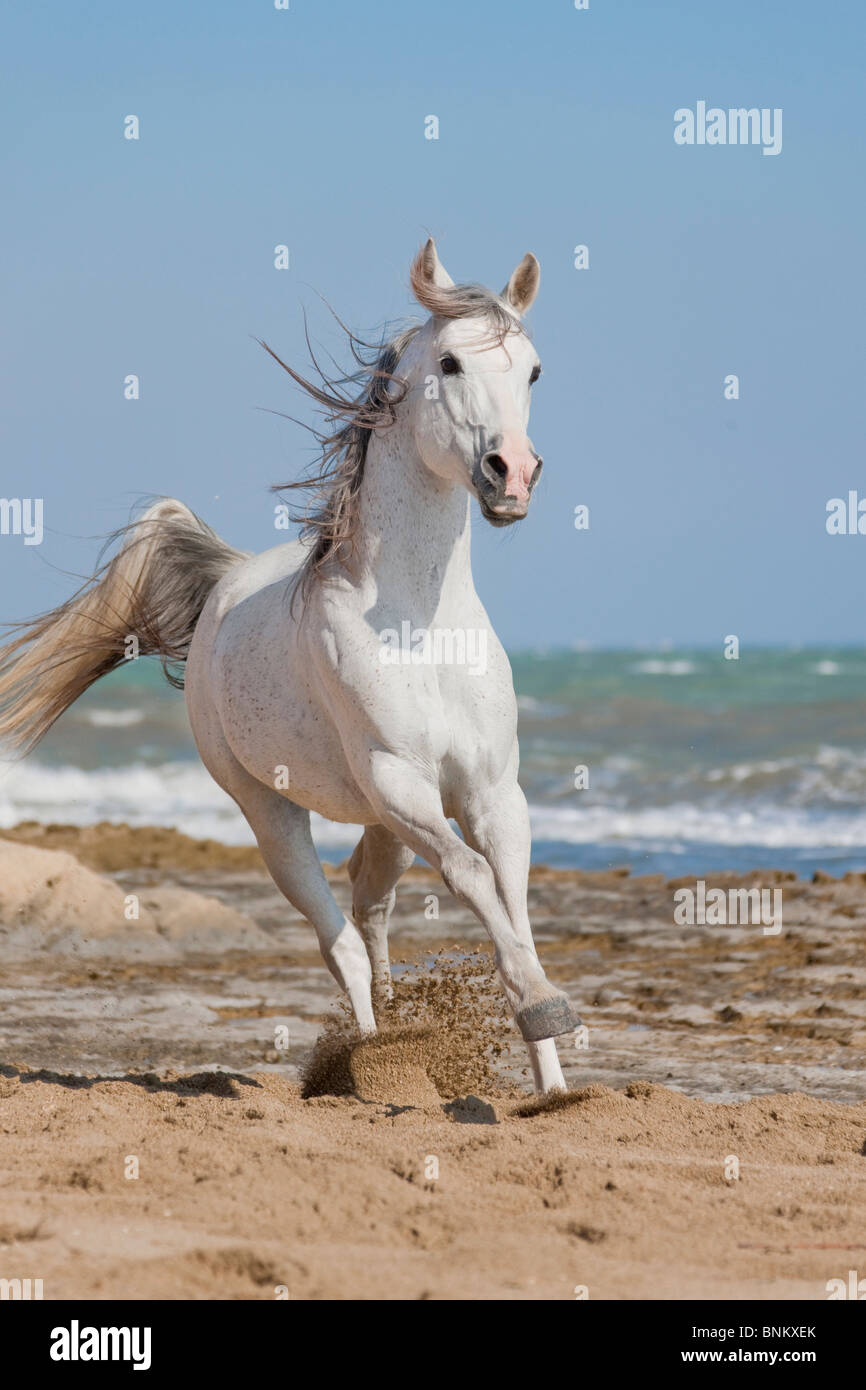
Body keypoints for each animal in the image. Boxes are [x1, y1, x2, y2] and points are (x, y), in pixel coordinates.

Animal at [0, 239, 581, 1094]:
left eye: (534, 370)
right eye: (449, 362)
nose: (512, 474)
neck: (420, 626)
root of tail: (225, 585)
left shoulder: (489, 789)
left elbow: (511, 899)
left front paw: (554, 1083)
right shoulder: (399, 781)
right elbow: (472, 877)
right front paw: (540, 1008)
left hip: (380, 820)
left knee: (369, 907)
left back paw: (400, 1036)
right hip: (273, 813)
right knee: (339, 941)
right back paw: (370, 1059)